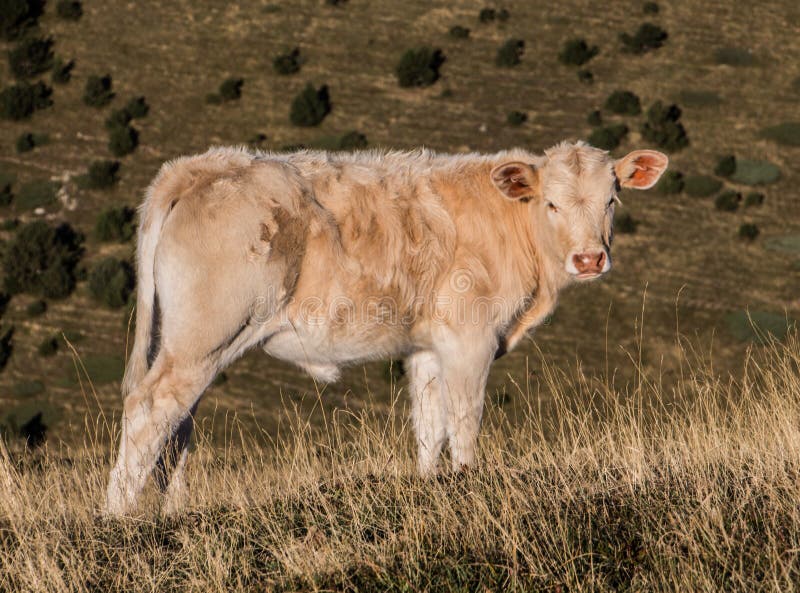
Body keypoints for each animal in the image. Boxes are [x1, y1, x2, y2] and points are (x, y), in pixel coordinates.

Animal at [104, 141, 667, 515]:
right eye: (551, 202)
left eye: (612, 200)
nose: (589, 259)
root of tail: (202, 165)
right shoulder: (470, 339)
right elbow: (464, 423)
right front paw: (468, 487)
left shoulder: (427, 347)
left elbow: (429, 426)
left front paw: (432, 488)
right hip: (205, 334)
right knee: (151, 409)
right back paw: (117, 518)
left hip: (194, 342)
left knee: (177, 424)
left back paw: (176, 513)